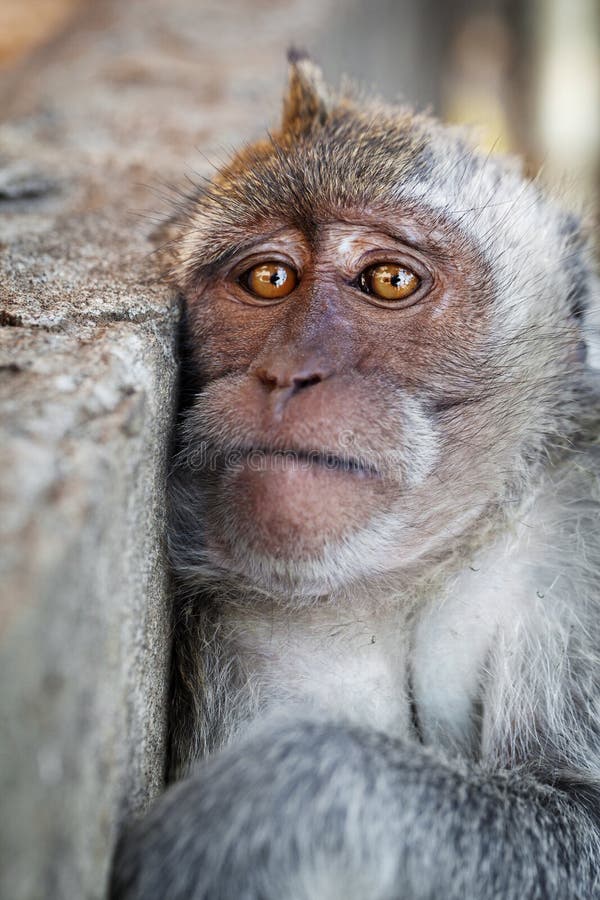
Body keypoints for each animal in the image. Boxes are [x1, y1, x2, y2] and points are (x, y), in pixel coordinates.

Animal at [111, 53, 600, 899]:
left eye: (389, 281)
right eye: (269, 279)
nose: (287, 374)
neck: (406, 576)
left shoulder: (579, 539)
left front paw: (261, 809)